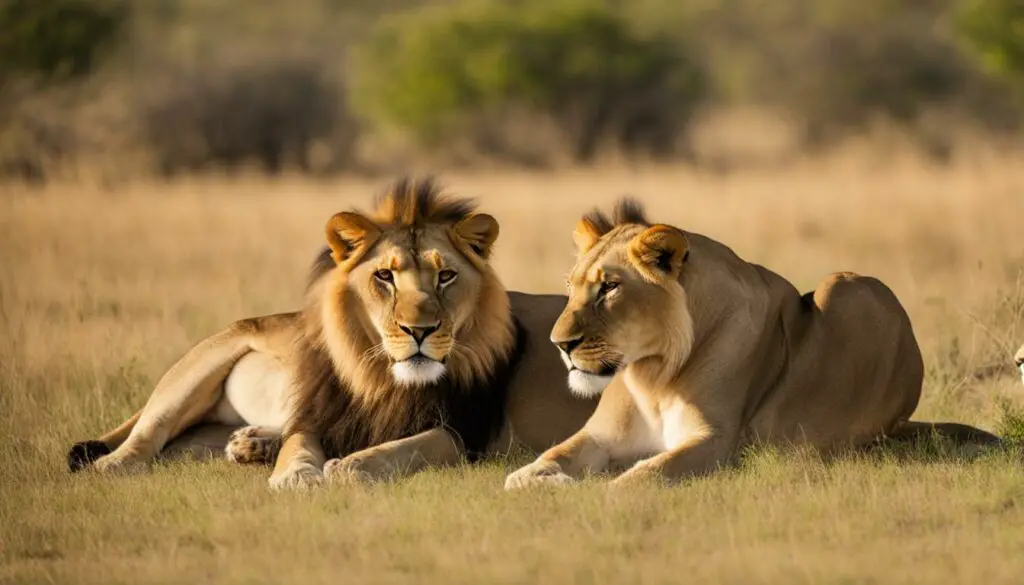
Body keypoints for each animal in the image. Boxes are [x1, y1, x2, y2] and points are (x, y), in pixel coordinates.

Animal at [67, 177, 599, 488]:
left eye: (446, 276)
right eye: (384, 276)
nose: (420, 330)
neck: (382, 376)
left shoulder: (464, 431)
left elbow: (405, 446)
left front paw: (349, 465)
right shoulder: (319, 415)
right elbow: (299, 443)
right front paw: (297, 474)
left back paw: (250, 443)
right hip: (209, 357)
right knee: (147, 434)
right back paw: (114, 465)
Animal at [505, 199, 1001, 489]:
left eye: (610, 287)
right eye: (570, 287)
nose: (560, 344)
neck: (652, 374)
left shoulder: (716, 441)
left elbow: (642, 476)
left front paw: (600, 491)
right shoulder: (599, 436)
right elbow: (542, 460)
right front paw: (540, 480)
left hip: (846, 286)